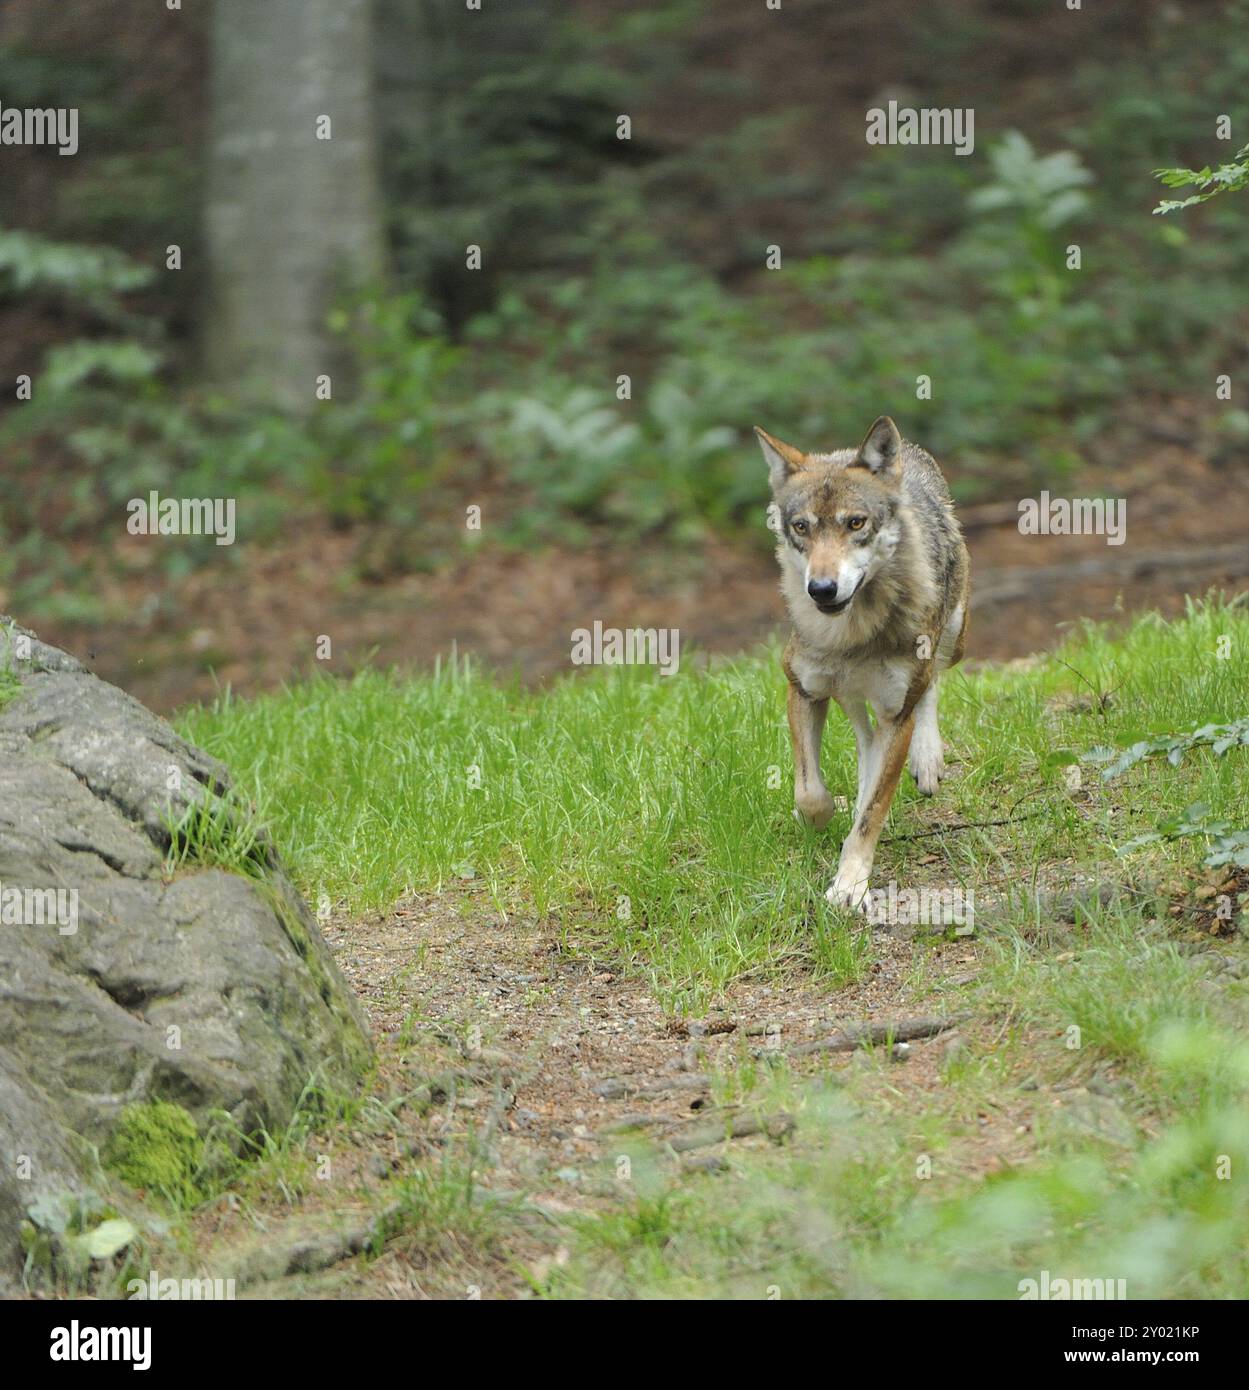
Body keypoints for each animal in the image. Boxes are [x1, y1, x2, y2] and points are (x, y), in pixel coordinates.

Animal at [756, 416, 969, 912]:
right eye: (801, 527)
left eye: (855, 522)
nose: (822, 588)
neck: (852, 636)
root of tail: (909, 453)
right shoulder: (802, 688)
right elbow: (809, 789)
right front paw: (817, 819)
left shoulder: (896, 714)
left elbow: (872, 812)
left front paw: (850, 885)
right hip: (850, 694)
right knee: (864, 740)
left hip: (951, 634)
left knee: (929, 689)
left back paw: (927, 760)